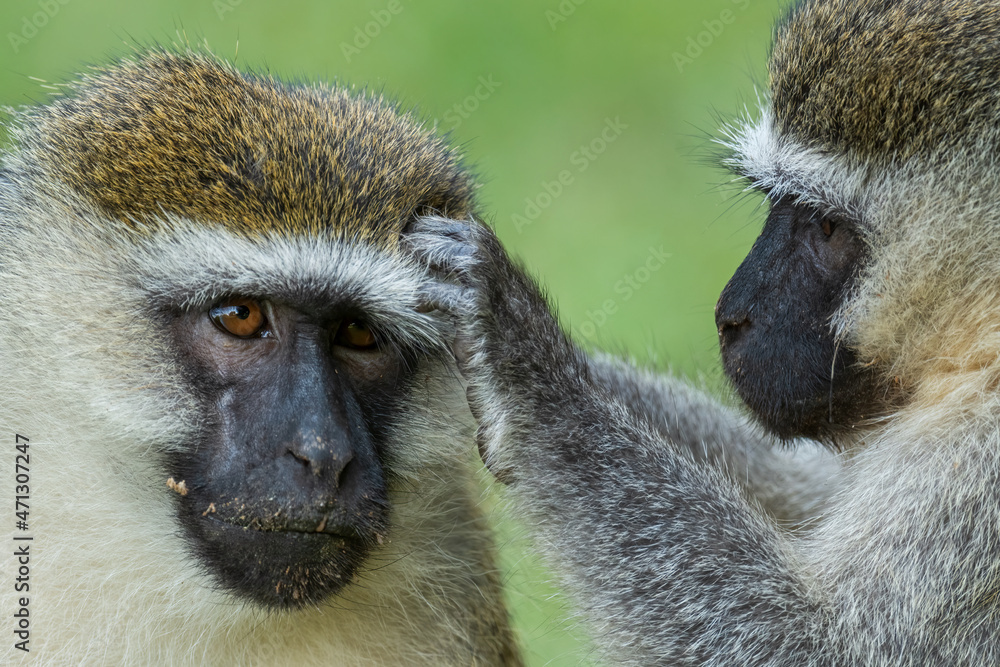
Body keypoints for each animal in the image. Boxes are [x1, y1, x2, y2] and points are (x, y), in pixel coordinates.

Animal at [405, 0, 1000, 664]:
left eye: (826, 227)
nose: (730, 315)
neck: (980, 348)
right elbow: (803, 488)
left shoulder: (980, 467)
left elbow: (808, 645)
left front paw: (518, 358)